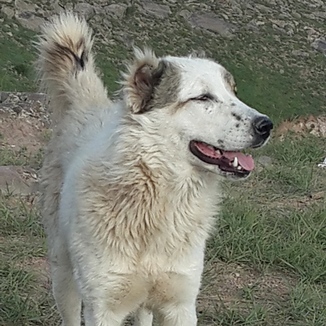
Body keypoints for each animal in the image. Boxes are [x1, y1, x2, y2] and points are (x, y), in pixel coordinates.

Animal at [37, 12, 274, 326]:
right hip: (63, 274)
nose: (266, 125)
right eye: (203, 97)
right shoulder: (103, 308)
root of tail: (90, 107)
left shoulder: (180, 305)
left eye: (233, 93)